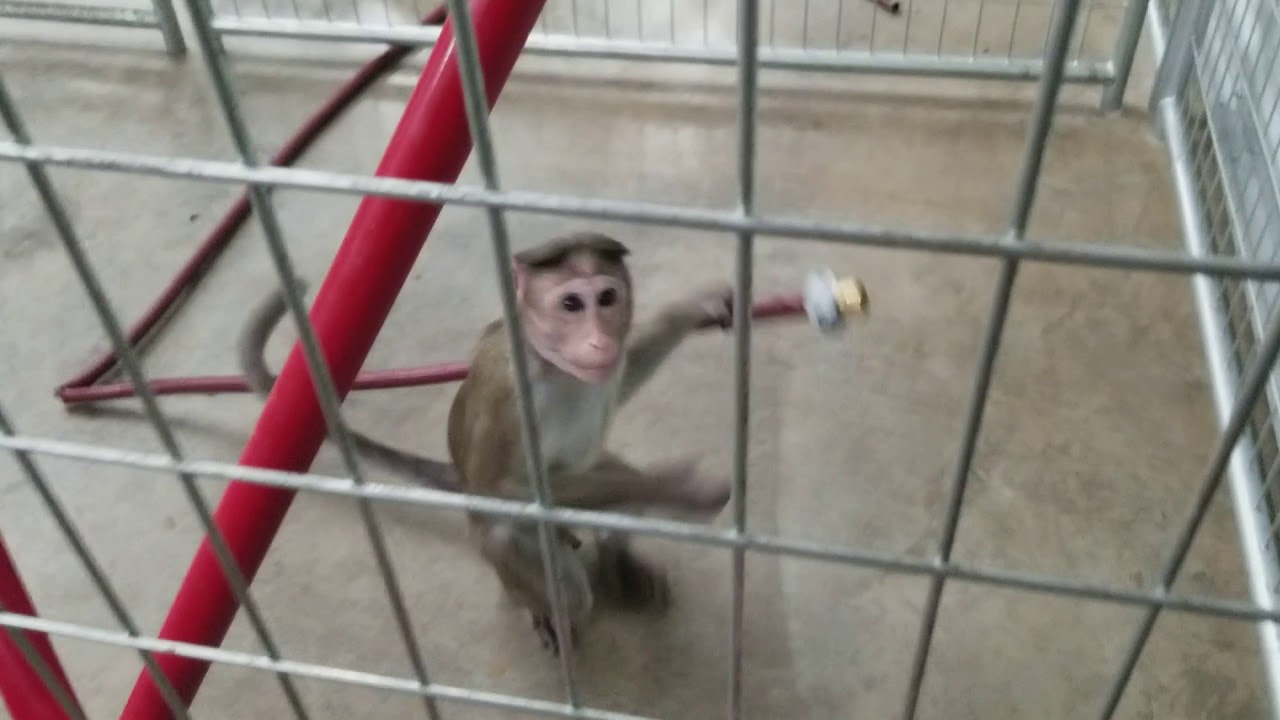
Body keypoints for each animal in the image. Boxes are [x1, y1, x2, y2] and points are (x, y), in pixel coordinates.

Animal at [239, 232, 734, 653]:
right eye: (571, 303)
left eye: (607, 298)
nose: (598, 340)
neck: (549, 364)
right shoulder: (512, 398)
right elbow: (508, 489)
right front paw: (669, 488)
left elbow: (625, 377)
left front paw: (692, 310)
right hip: (514, 544)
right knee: (531, 557)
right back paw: (545, 607)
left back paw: (619, 568)